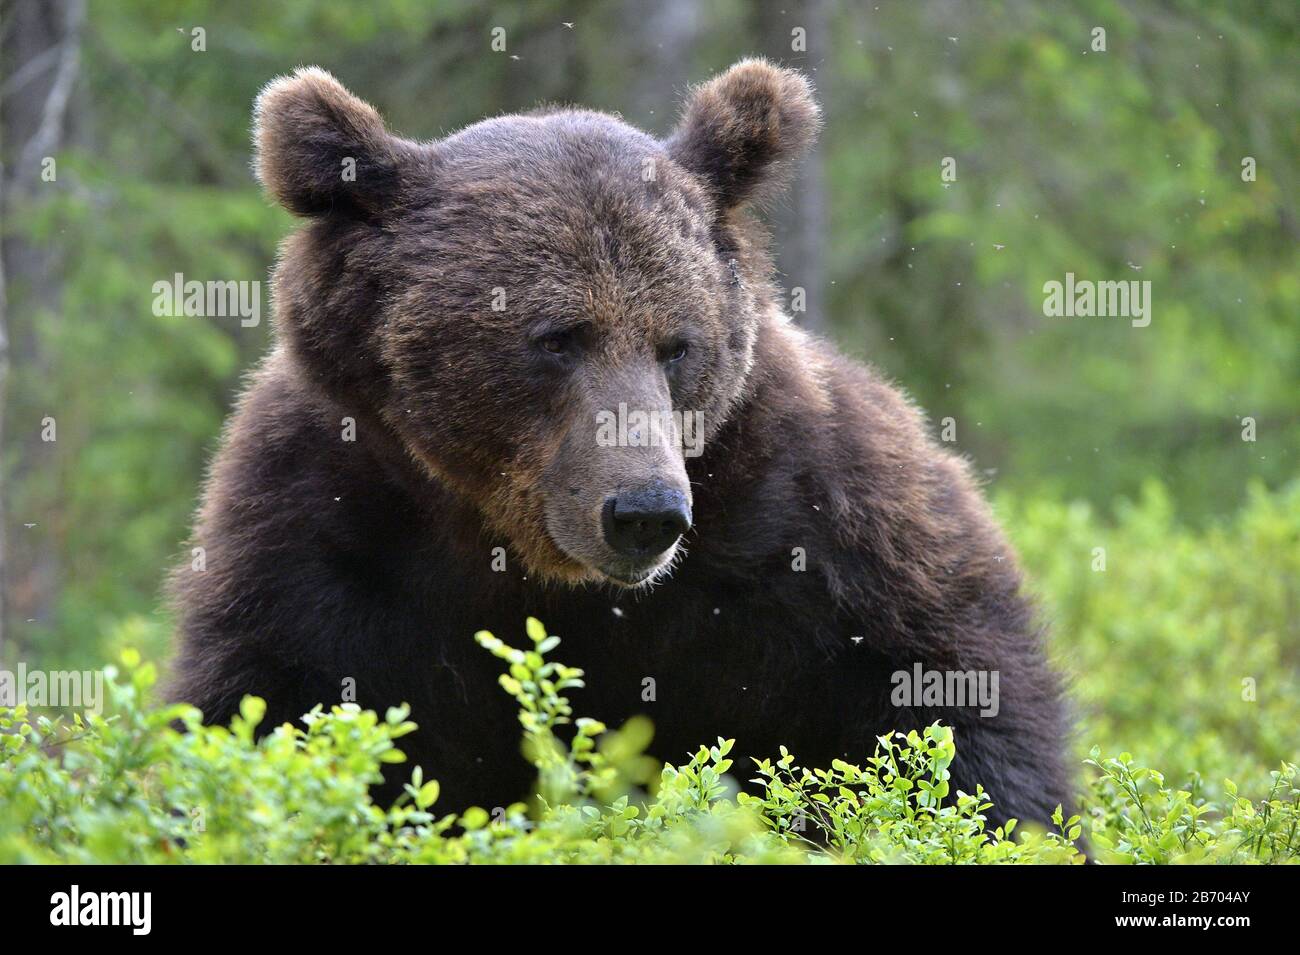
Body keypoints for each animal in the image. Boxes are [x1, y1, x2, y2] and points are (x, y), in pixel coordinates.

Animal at [167, 59, 1075, 830]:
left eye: (677, 343)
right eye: (557, 336)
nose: (644, 513)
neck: (525, 554)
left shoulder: (813, 524)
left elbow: (950, 711)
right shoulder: (324, 531)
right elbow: (269, 707)